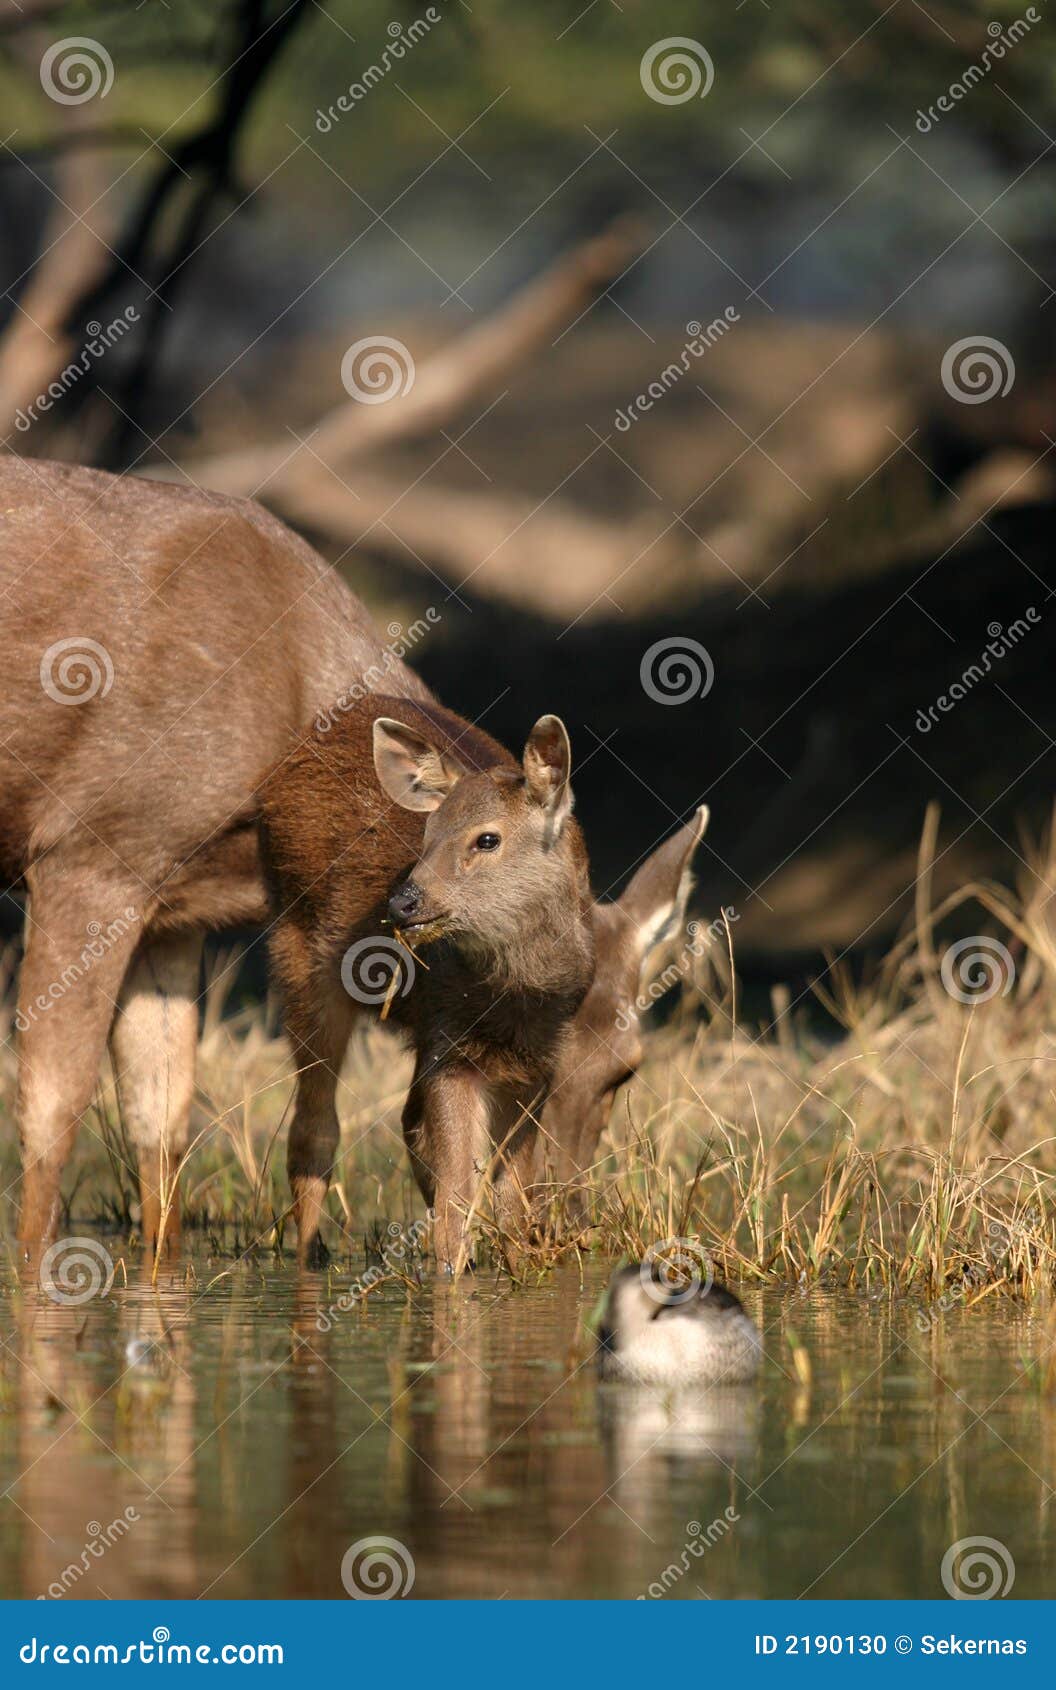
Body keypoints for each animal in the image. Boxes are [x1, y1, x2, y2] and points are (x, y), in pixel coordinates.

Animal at [0, 455, 709, 1265]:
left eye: (626, 1071)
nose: (558, 1229)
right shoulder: (92, 851)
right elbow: (52, 1113)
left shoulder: (173, 908)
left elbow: (162, 1126)